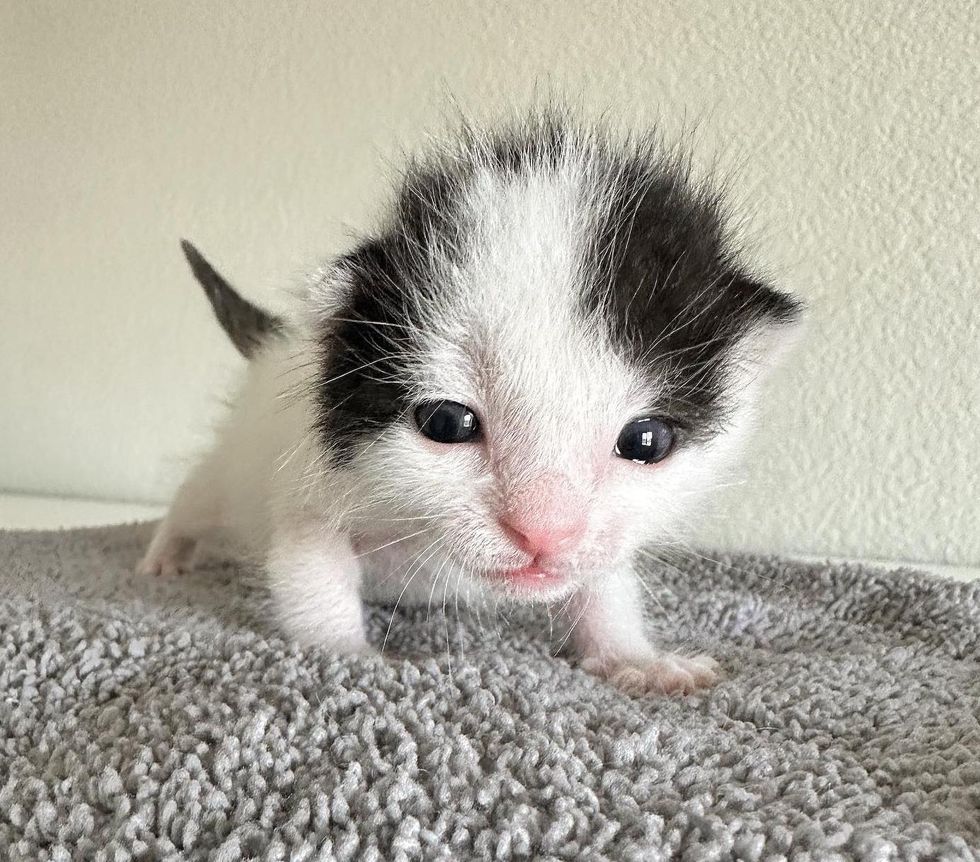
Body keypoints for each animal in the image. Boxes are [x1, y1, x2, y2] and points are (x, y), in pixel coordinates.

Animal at [145, 115, 804, 696]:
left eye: (647, 441)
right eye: (446, 422)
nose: (543, 534)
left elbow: (603, 584)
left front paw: (633, 658)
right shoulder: (310, 493)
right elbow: (314, 576)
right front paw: (349, 653)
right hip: (231, 471)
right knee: (195, 497)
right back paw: (164, 555)